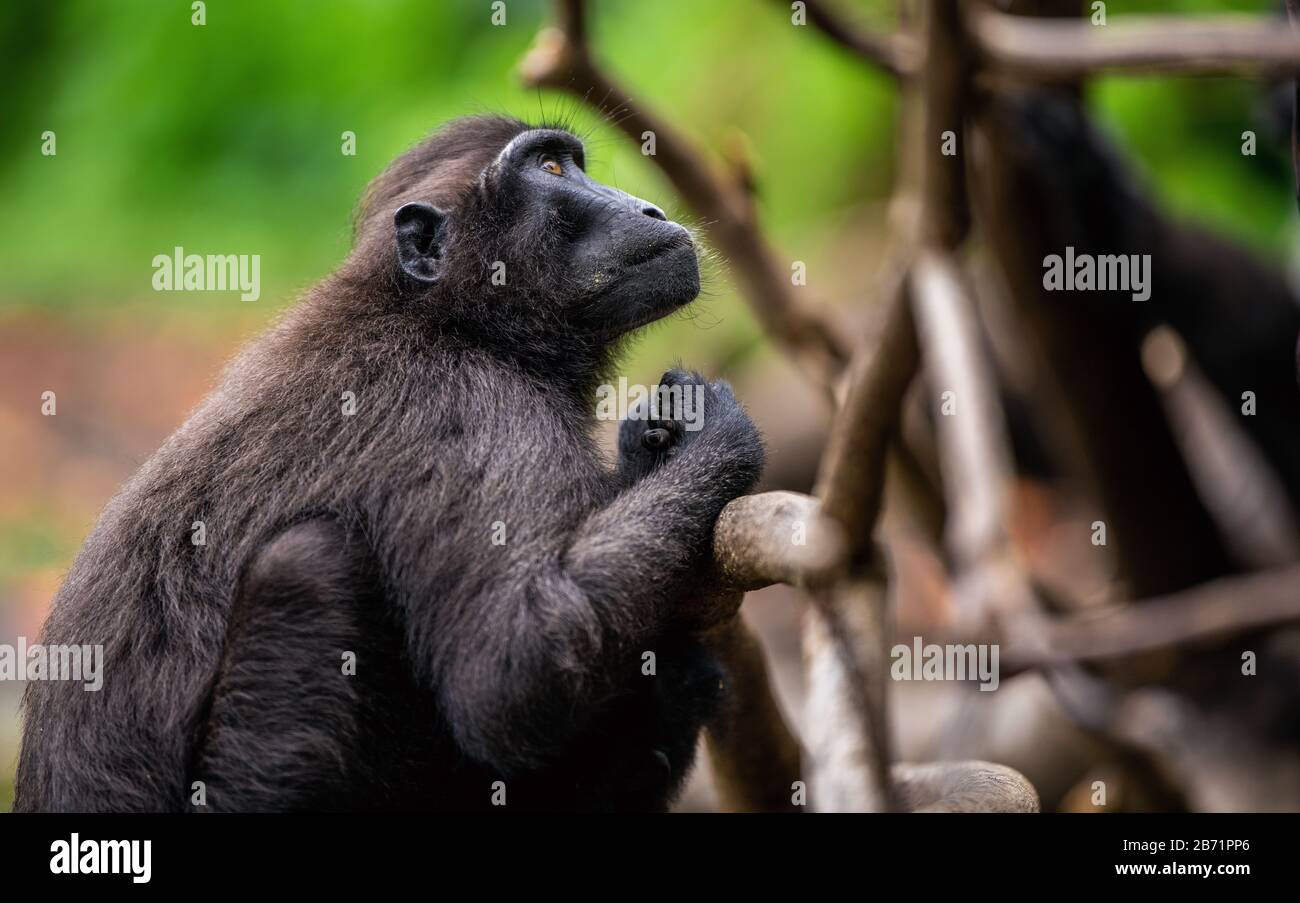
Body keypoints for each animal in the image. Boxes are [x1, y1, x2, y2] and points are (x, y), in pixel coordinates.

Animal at [14, 116, 765, 812]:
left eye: (572, 162)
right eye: (551, 168)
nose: (651, 209)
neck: (447, 317)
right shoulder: (466, 406)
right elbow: (511, 674)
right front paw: (715, 442)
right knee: (309, 560)